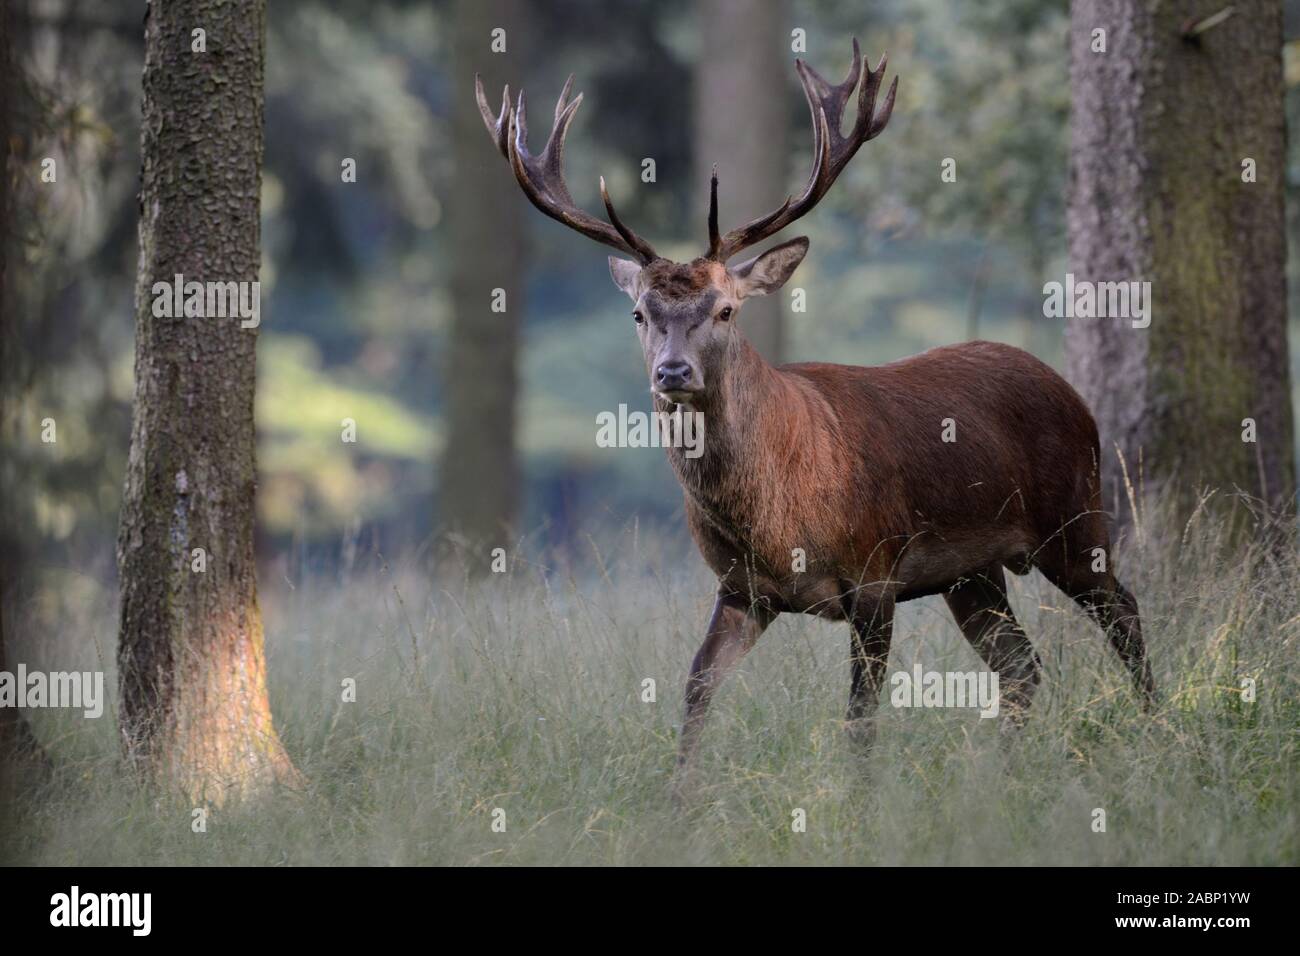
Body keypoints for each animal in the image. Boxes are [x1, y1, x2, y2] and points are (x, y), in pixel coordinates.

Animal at [475, 39, 1156, 785]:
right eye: (639, 313)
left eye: (726, 310)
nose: (672, 372)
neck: (778, 515)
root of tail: (1072, 394)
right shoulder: (740, 591)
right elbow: (695, 690)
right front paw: (678, 798)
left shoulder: (876, 570)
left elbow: (859, 720)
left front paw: (857, 802)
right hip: (973, 572)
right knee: (1023, 665)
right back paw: (1002, 777)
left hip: (1075, 515)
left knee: (1125, 612)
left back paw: (1158, 728)